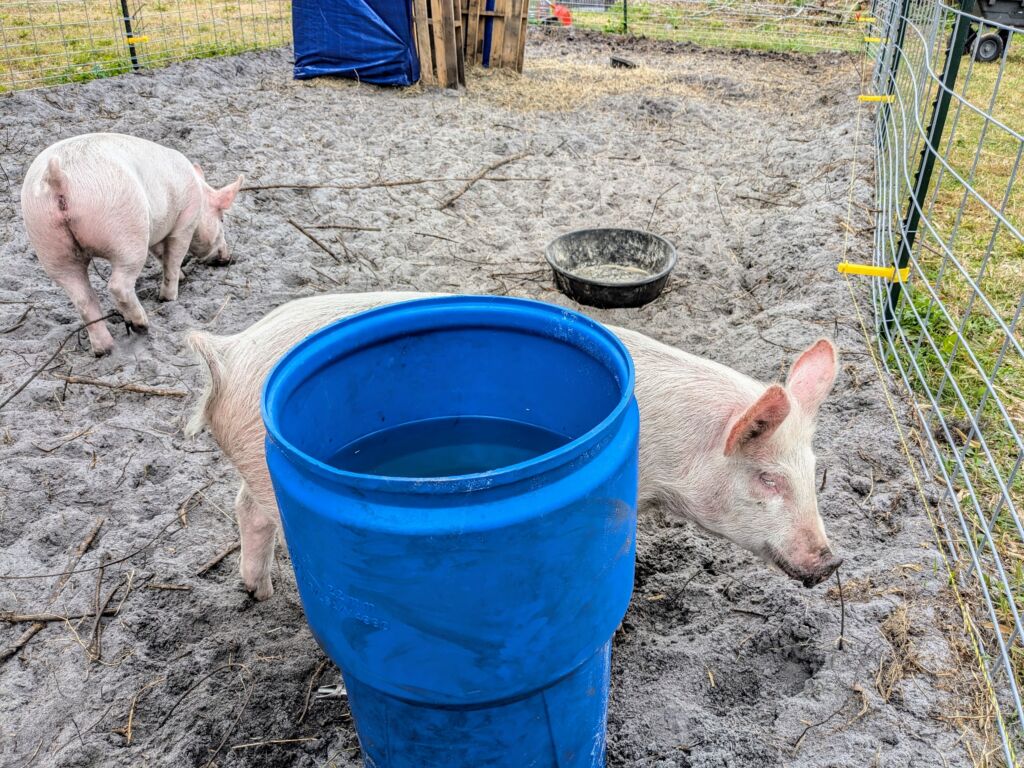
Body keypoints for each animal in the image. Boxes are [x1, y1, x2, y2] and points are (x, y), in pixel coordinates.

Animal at [20, 133, 244, 356]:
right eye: (222, 218)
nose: (226, 258)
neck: (199, 194)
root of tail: (57, 176)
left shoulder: (156, 230)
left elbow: (161, 253)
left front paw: (181, 275)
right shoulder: (185, 222)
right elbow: (173, 257)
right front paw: (170, 296)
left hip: (48, 243)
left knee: (82, 297)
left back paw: (104, 350)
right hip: (125, 234)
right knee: (118, 285)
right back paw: (142, 326)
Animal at [186, 291, 841, 601]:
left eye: (815, 474)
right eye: (768, 479)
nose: (832, 561)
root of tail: (228, 351)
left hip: (254, 459)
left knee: (244, 507)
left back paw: (257, 591)